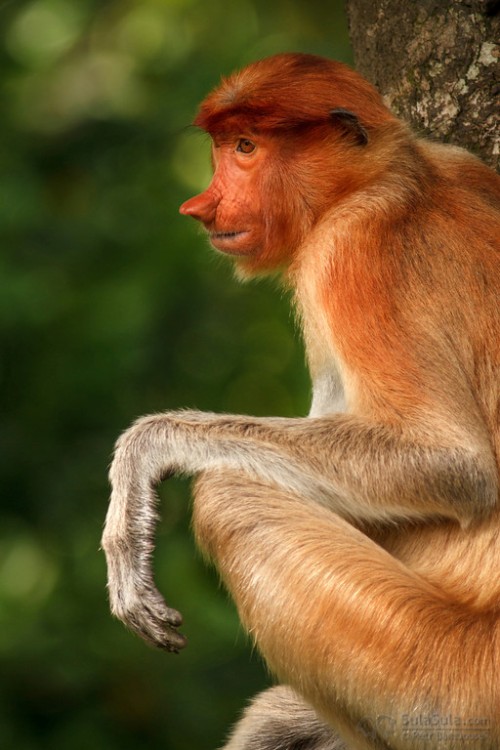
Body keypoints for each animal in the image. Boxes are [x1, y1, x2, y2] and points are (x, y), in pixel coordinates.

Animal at [102, 53, 500, 749]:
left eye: (245, 147)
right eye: (224, 145)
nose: (199, 206)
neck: (391, 178)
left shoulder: (349, 258)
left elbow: (454, 462)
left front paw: (143, 456)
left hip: (440, 674)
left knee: (227, 495)